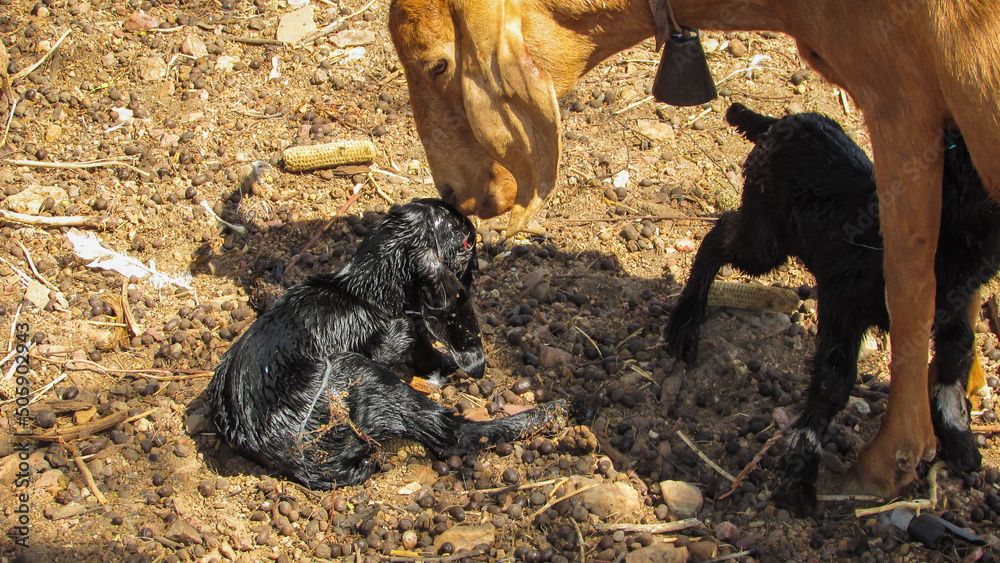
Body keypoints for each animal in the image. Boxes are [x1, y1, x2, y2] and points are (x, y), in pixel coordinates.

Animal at [207, 199, 585, 488]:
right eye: (465, 244)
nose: (479, 264)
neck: (364, 289)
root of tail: (305, 464)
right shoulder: (394, 335)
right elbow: (413, 333)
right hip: (360, 376)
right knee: (455, 434)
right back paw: (554, 412)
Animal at [664, 103, 995, 515]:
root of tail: (778, 121)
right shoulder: (843, 297)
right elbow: (833, 379)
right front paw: (801, 471)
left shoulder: (951, 303)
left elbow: (958, 351)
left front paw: (959, 436)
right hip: (766, 235)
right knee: (721, 233)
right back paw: (684, 325)